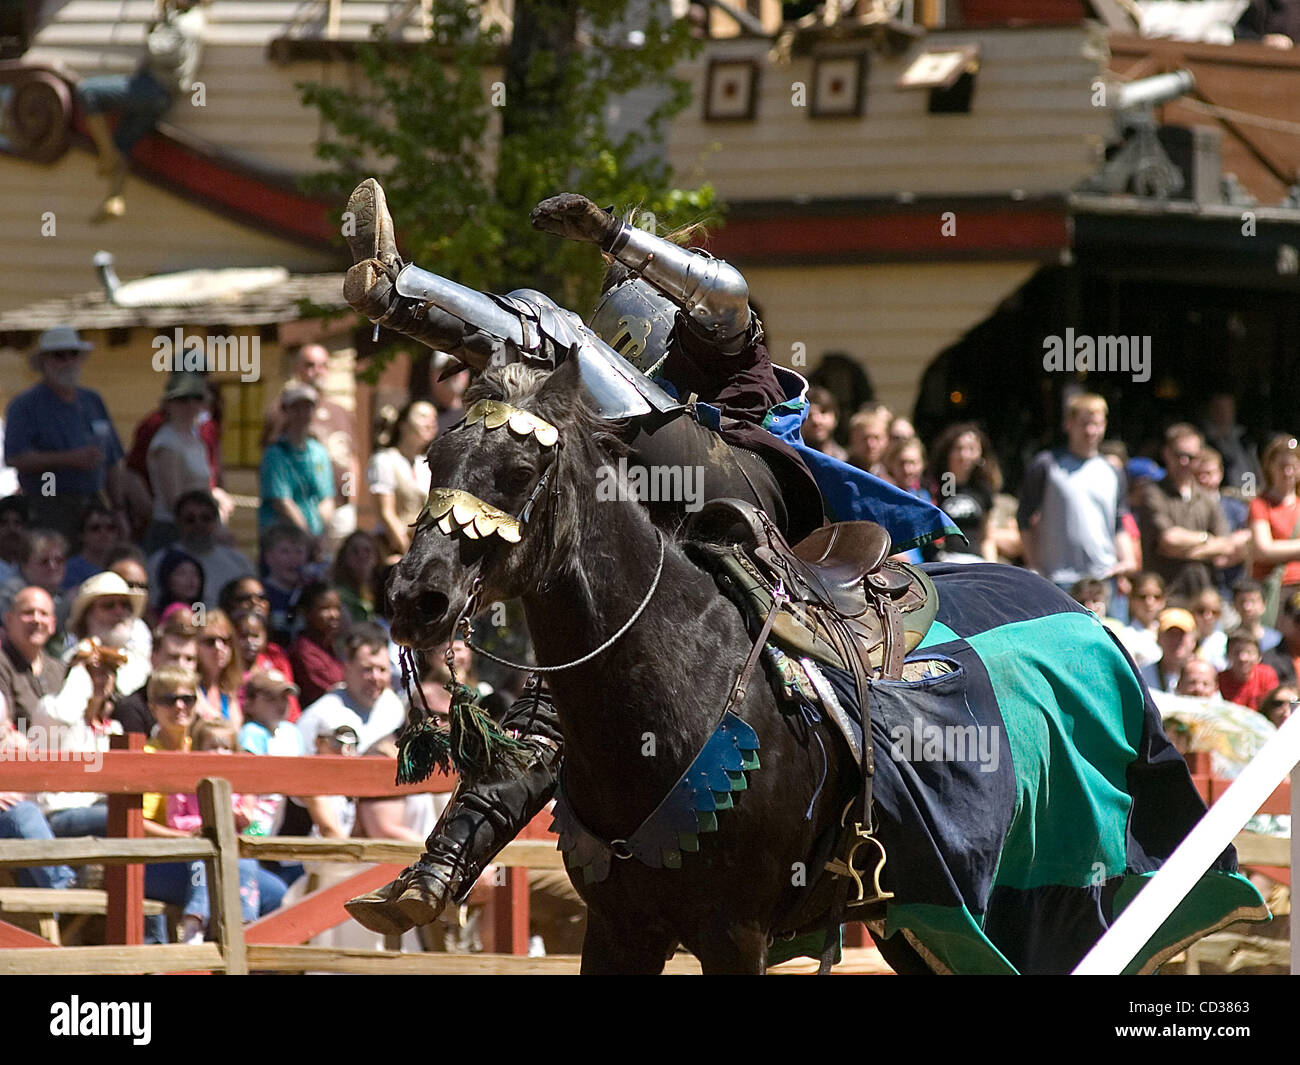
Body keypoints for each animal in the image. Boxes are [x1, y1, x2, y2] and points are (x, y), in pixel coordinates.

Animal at [384, 355, 1267, 974]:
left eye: (521, 471)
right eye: (433, 459)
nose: (417, 596)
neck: (673, 685)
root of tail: (1085, 615)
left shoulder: (731, 935)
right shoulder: (619, 929)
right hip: (922, 919)